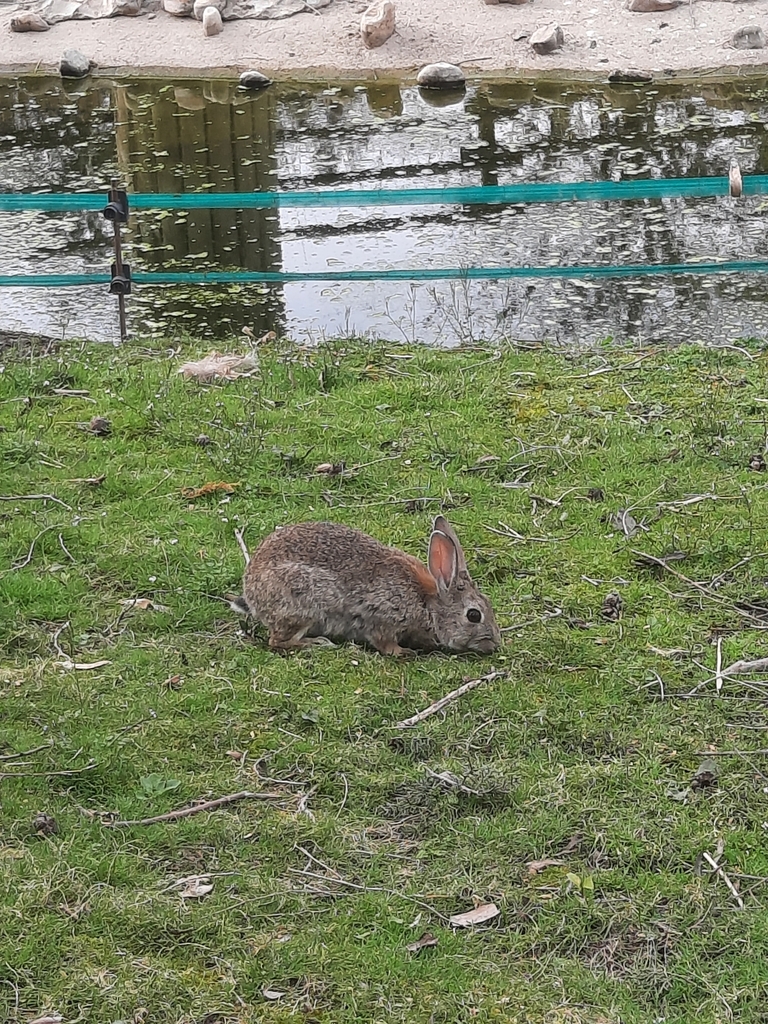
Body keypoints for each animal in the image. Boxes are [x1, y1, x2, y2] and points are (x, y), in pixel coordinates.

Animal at [230, 516, 501, 657]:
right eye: (473, 615)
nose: (495, 644)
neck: (428, 604)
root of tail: (251, 590)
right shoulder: (382, 617)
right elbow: (385, 642)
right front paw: (403, 652)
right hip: (302, 605)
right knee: (277, 641)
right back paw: (316, 643)